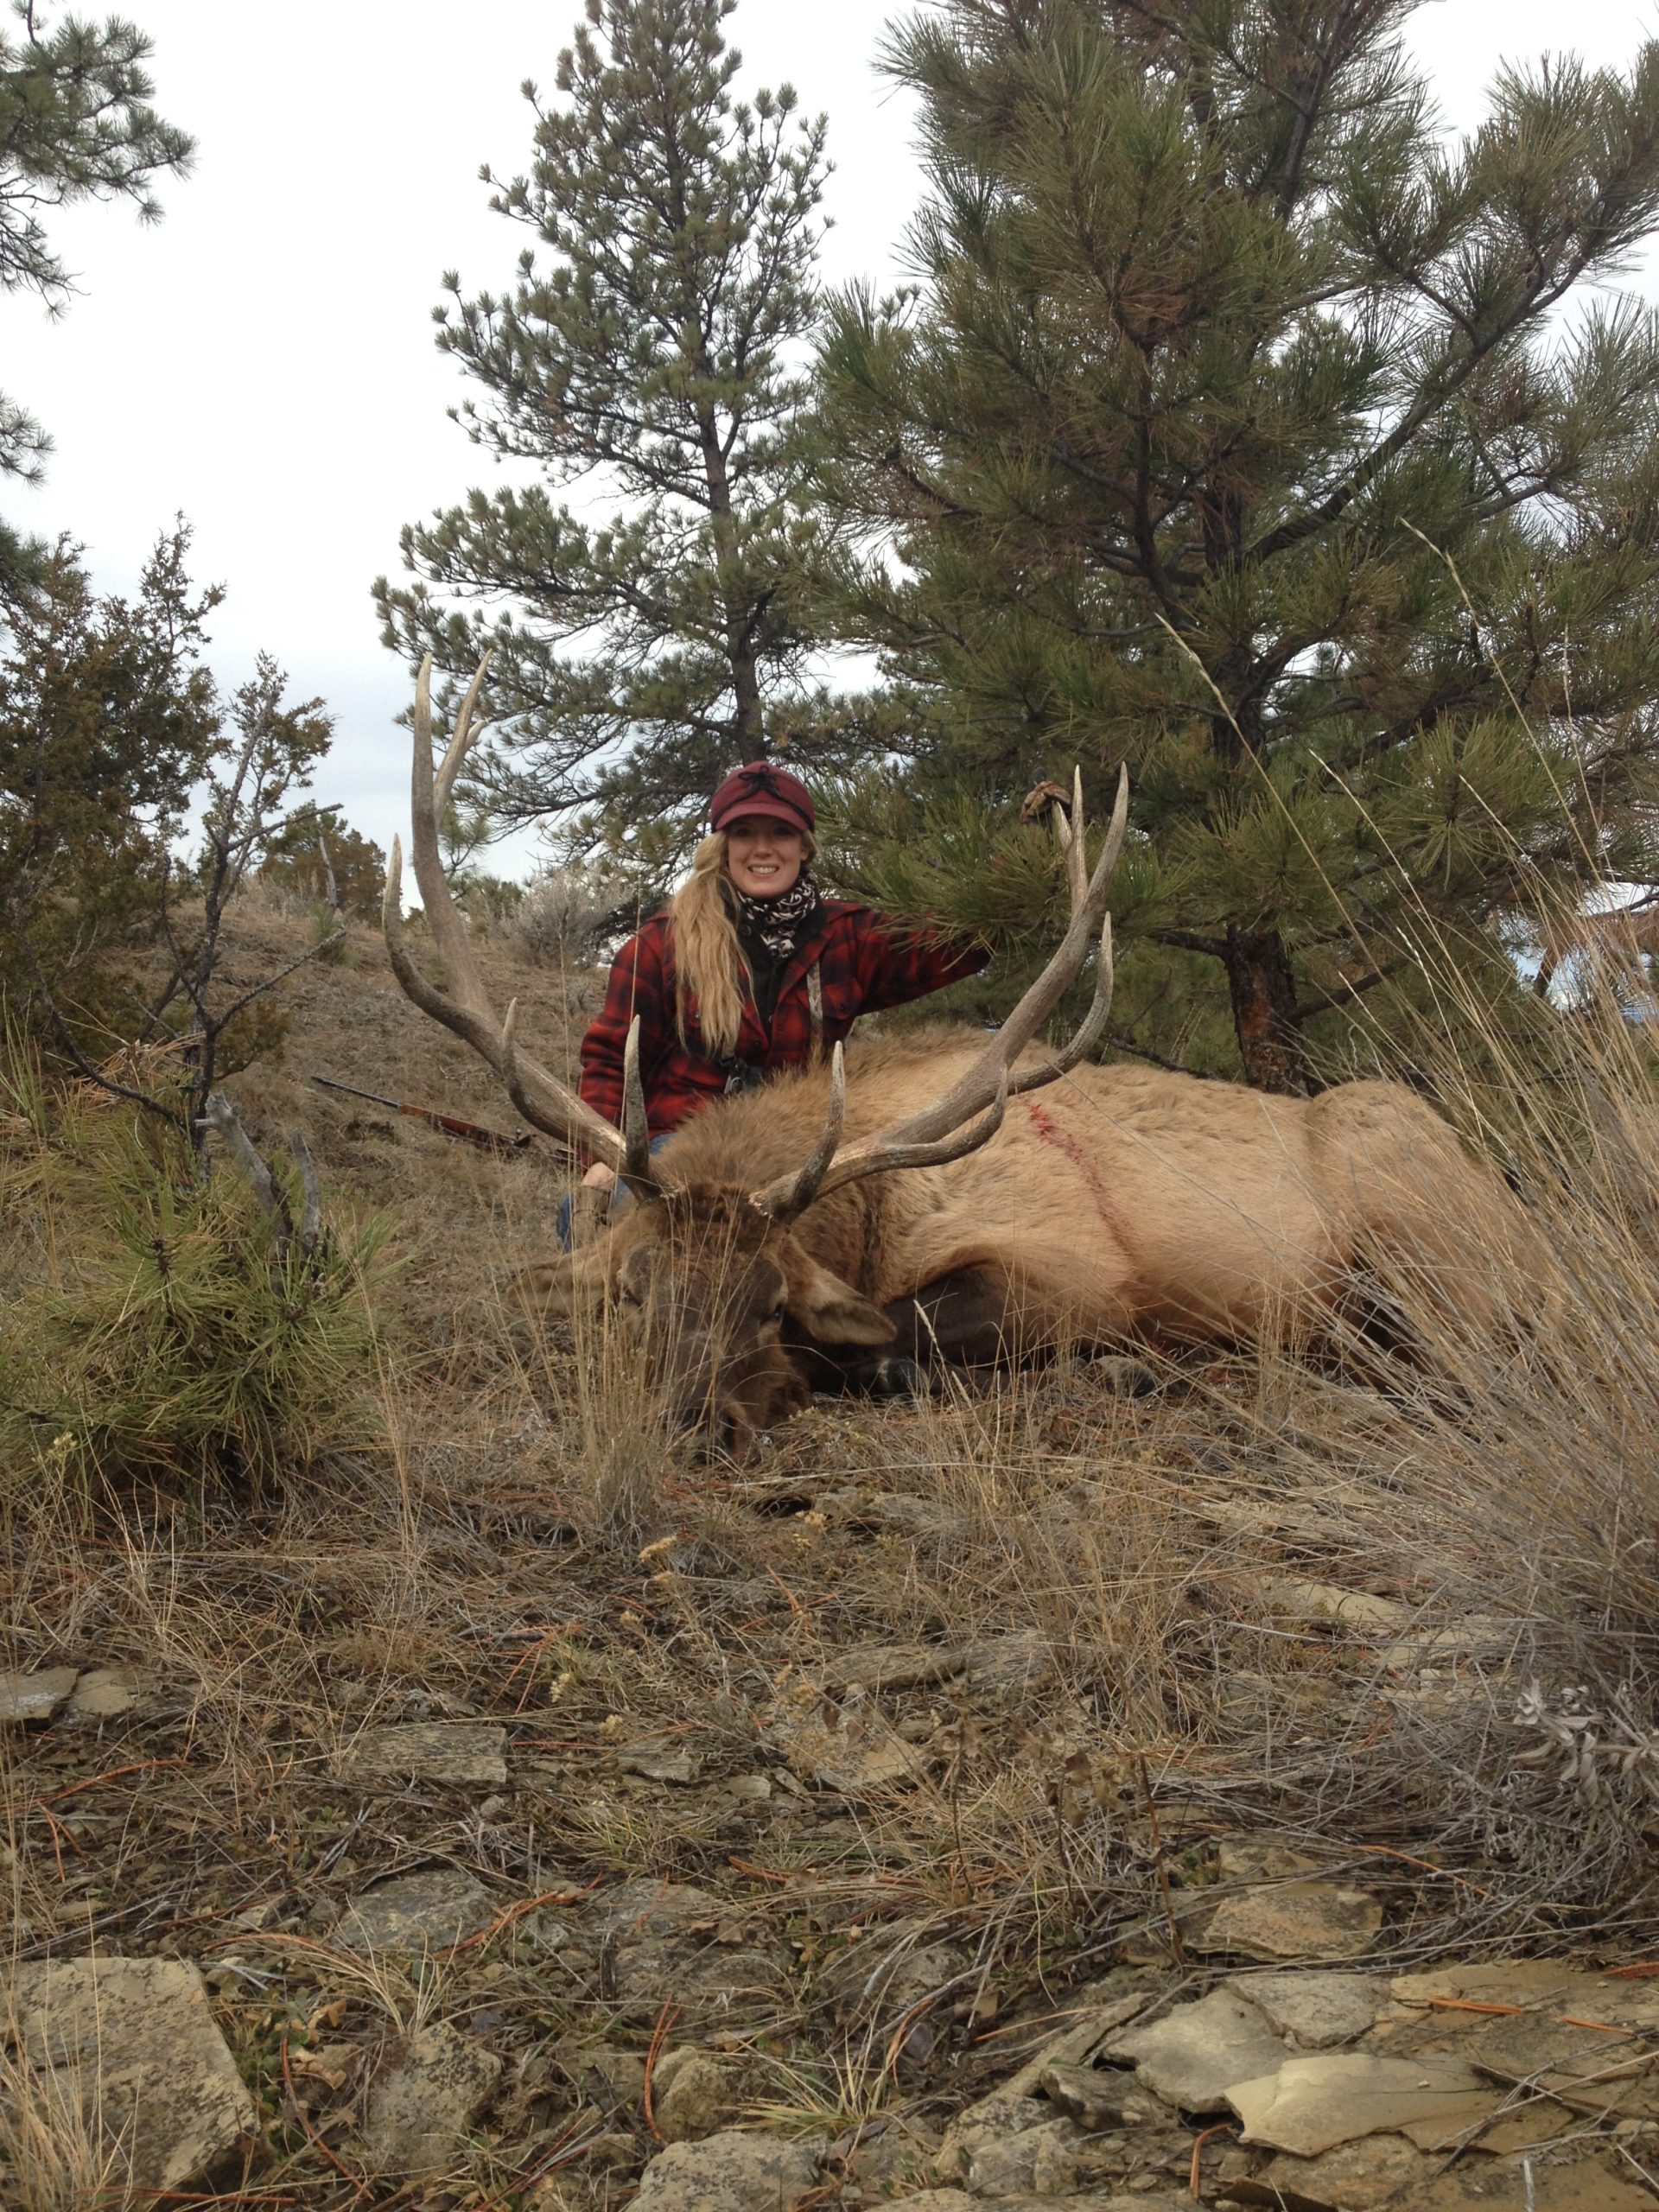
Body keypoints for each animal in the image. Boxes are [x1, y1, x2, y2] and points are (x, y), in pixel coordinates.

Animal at [384, 659, 1540, 1454]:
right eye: (635, 1295)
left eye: (769, 1303)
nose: (696, 1423)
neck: (871, 1213)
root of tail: (1510, 1195)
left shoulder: (1079, 1272)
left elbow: (895, 1339)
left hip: (1415, 1214)